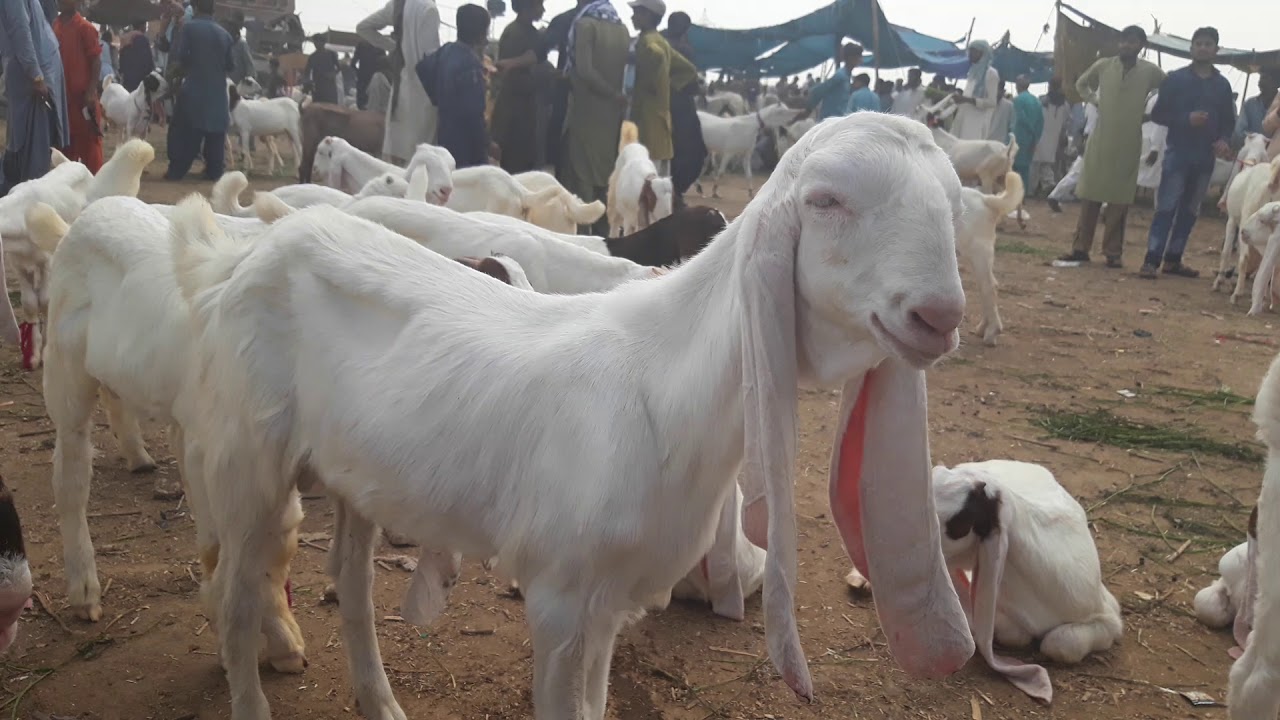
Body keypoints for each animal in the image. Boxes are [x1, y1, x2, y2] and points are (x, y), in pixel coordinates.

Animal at [24, 198, 307, 672]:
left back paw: (138, 456)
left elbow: (276, 537)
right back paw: (84, 589)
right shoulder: (212, 446)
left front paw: (279, 638)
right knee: (70, 474)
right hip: (65, 368)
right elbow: (230, 542)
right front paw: (254, 635)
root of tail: (75, 224)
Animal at [169, 111, 975, 719]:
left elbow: (593, 704)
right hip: (246, 459)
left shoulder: (610, 600)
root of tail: (248, 255)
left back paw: (381, 701)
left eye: (952, 204)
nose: (939, 316)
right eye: (826, 200)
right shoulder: (558, 598)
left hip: (352, 472)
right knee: (234, 597)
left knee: (351, 581)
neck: (664, 385)